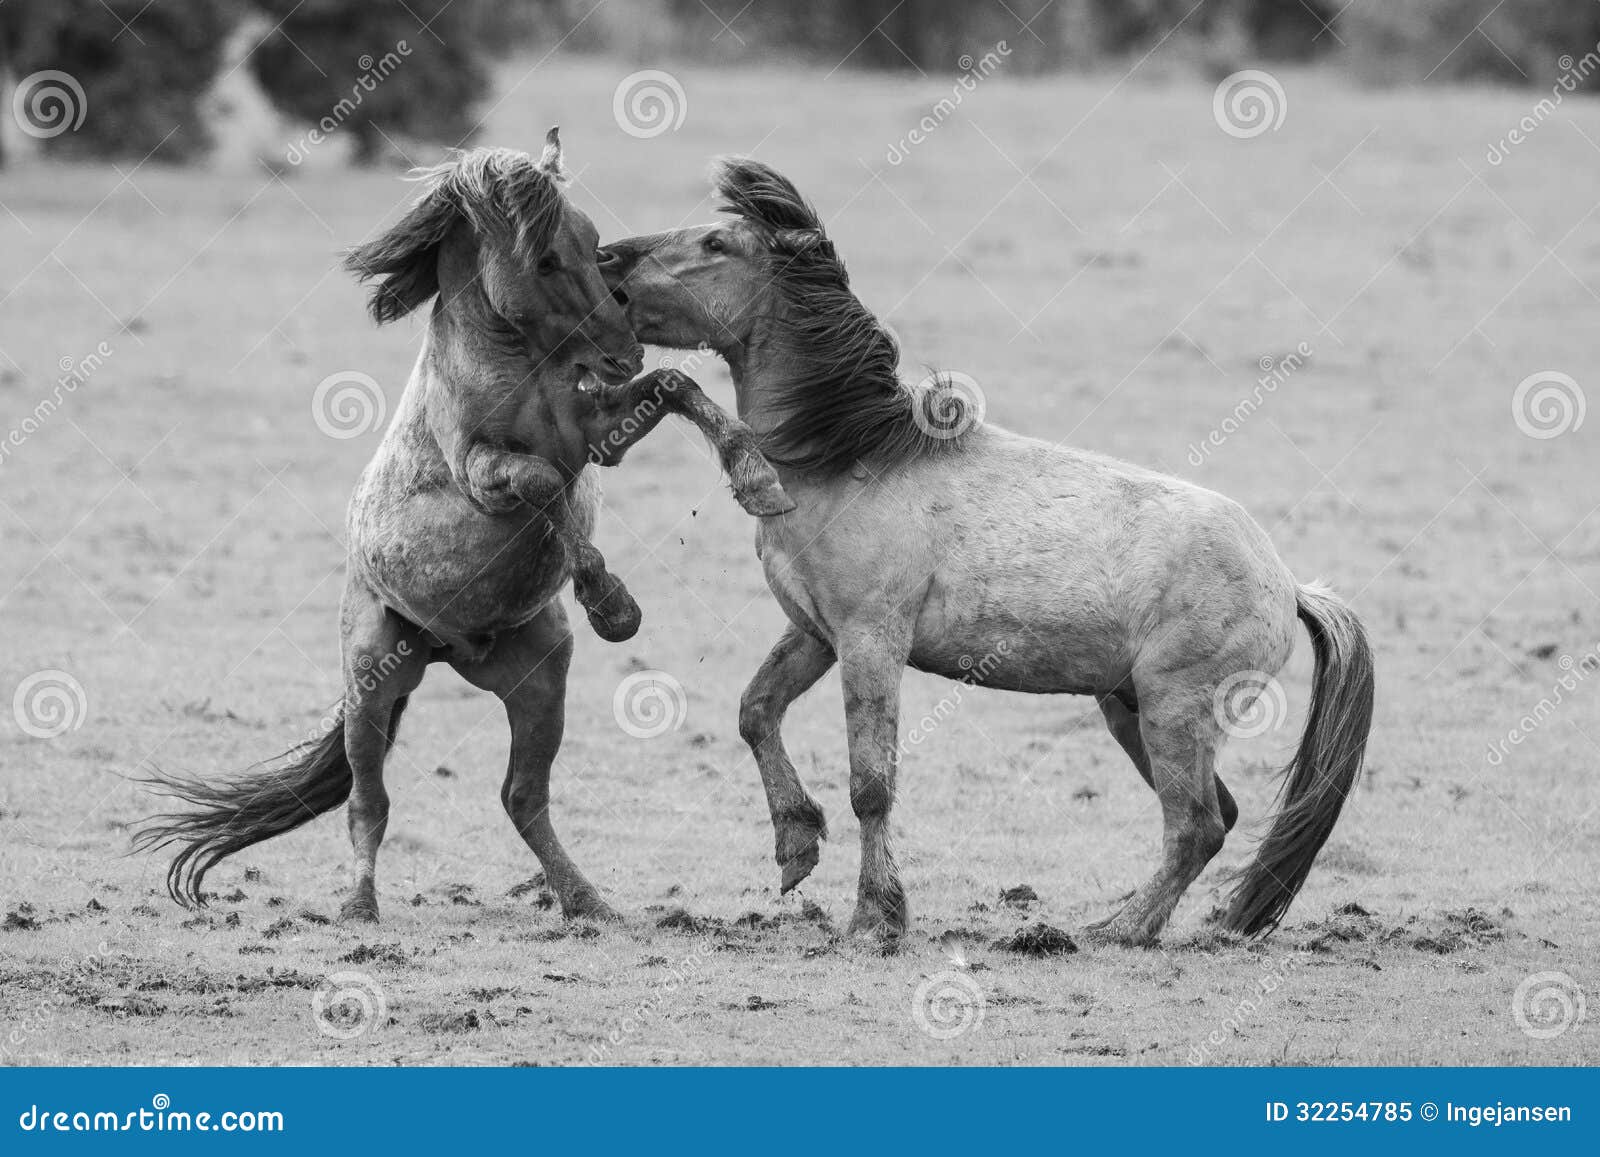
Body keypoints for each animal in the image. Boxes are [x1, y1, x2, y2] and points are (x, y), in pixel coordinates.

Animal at [136, 133, 792, 924]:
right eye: (546, 259)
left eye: (594, 245)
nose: (622, 349)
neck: (518, 366)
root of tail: (449, 647)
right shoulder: (484, 471)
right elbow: (543, 485)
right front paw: (612, 604)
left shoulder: (601, 431)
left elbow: (677, 388)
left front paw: (757, 480)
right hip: (371, 684)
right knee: (368, 803)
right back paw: (360, 906)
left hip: (539, 682)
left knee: (522, 798)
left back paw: (588, 902)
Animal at [598, 158, 1375, 946]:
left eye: (716, 242)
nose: (608, 264)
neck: (848, 456)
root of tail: (1289, 586)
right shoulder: (816, 634)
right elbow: (755, 711)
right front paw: (796, 844)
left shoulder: (872, 640)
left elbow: (870, 784)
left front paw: (876, 914)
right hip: (1128, 708)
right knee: (1215, 820)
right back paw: (1122, 919)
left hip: (1174, 710)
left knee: (1195, 826)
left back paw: (1116, 931)